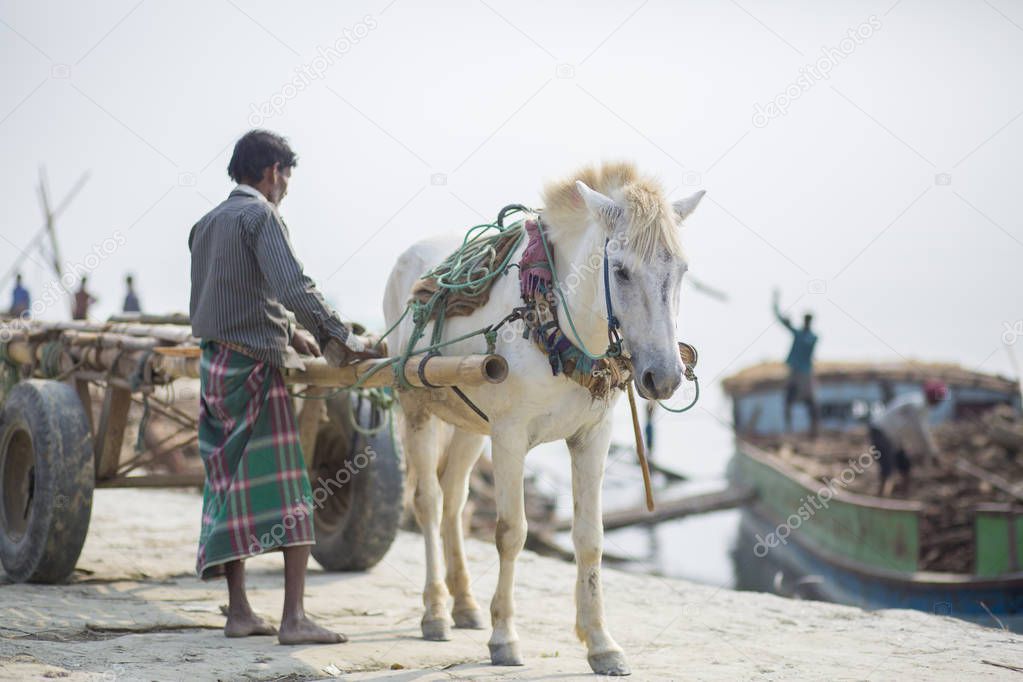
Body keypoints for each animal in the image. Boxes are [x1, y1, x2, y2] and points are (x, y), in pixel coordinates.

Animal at [382, 161, 704, 676]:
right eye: (620, 270)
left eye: (682, 271)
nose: (665, 376)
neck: (556, 322)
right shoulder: (510, 436)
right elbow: (511, 532)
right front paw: (504, 638)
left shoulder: (592, 436)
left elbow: (590, 537)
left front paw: (600, 643)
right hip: (416, 406)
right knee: (428, 503)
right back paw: (435, 610)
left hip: (470, 424)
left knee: (455, 501)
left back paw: (464, 603)